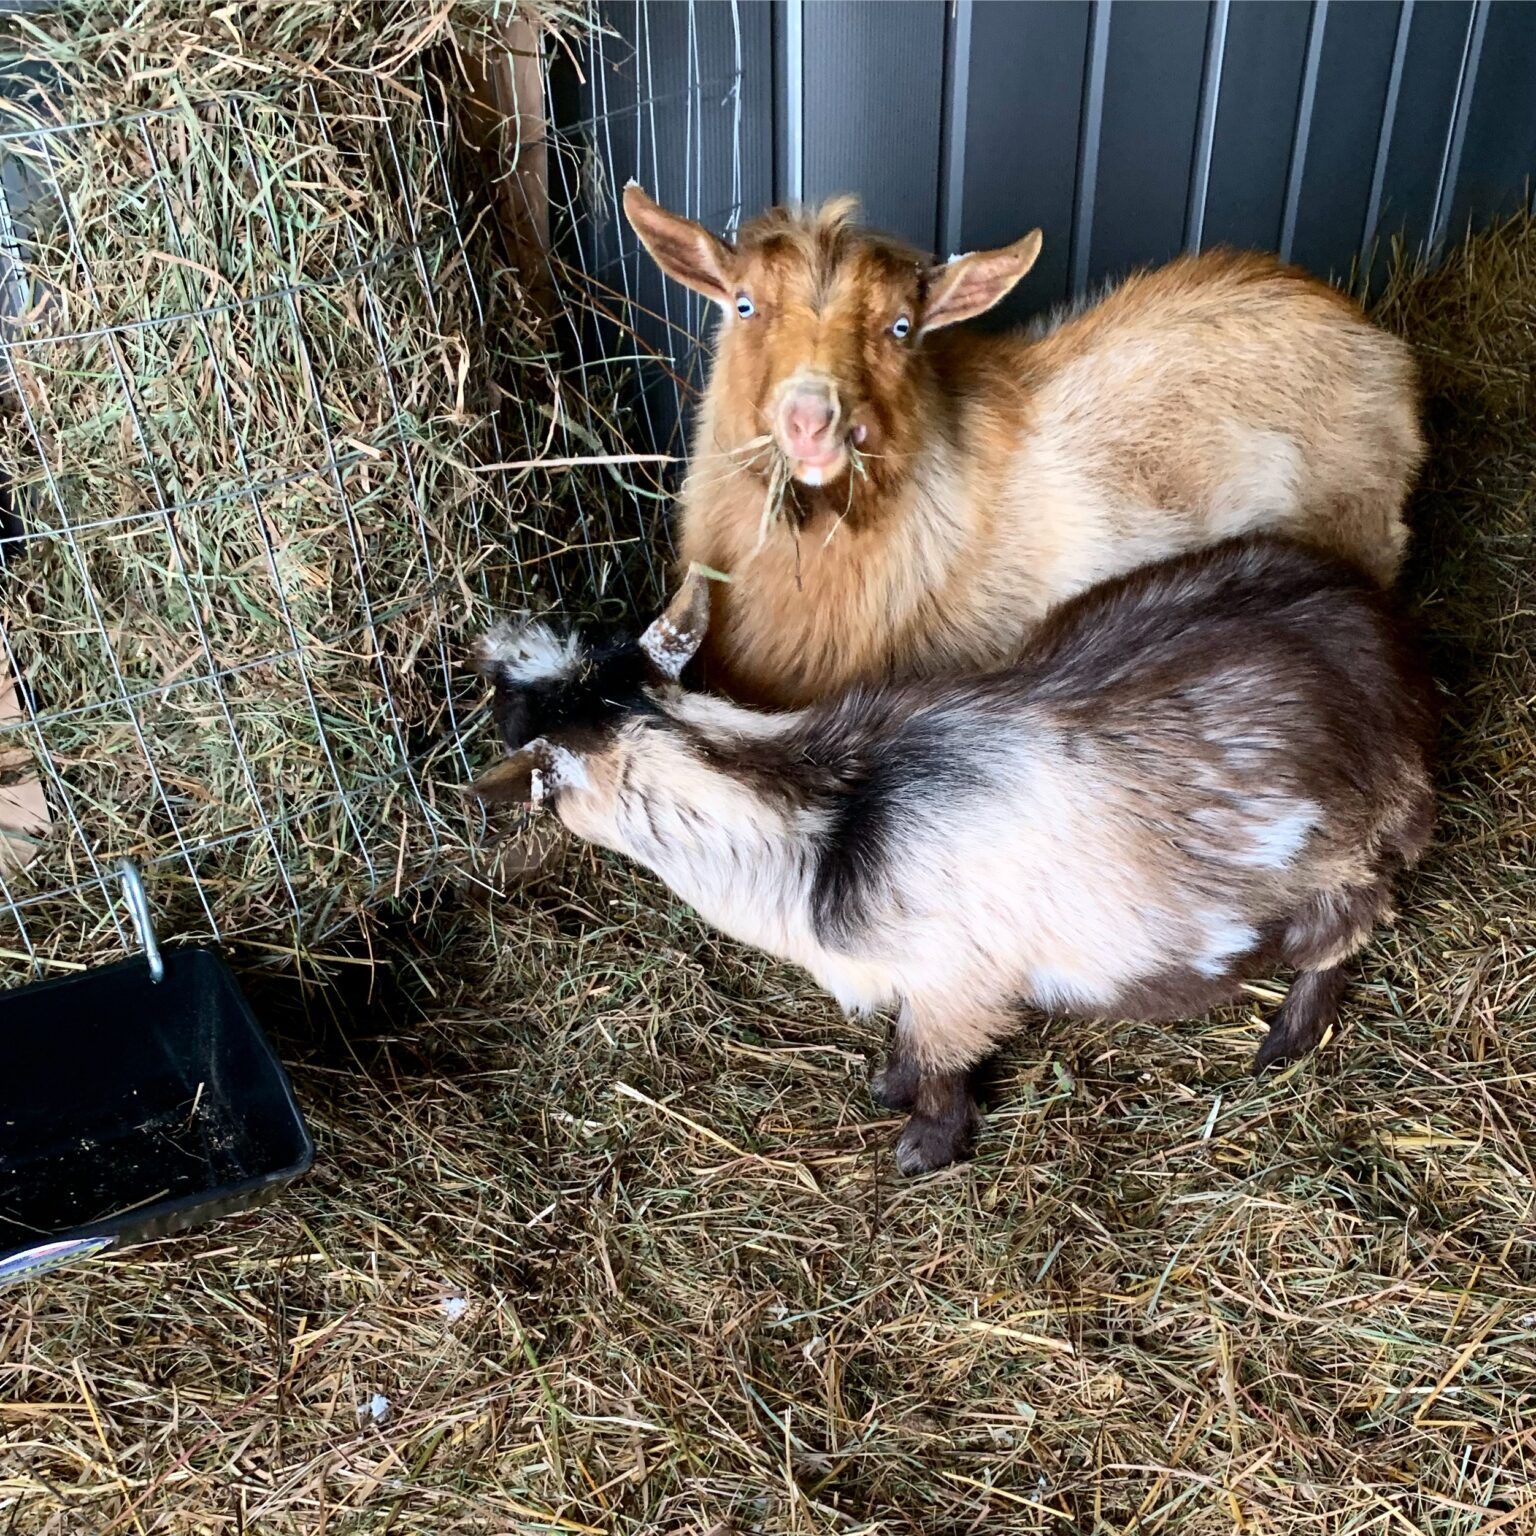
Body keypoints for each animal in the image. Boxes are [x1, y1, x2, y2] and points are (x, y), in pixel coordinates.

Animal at [469, 536, 1435, 1175]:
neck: (823, 823)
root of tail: (1384, 635)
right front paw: (887, 1089)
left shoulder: (953, 985)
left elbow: (938, 1067)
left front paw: (922, 1145)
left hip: (1349, 847)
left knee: (1349, 923)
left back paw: (1289, 1035)